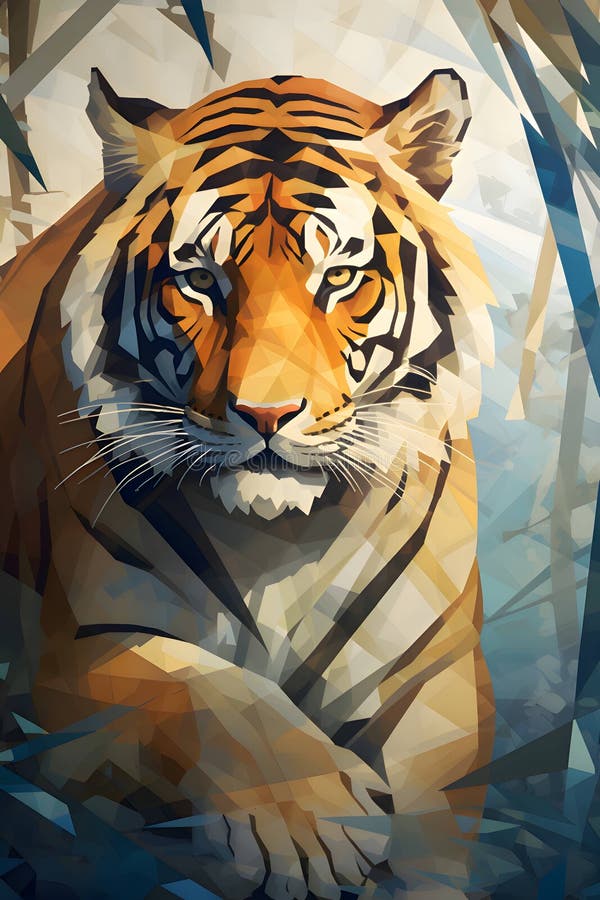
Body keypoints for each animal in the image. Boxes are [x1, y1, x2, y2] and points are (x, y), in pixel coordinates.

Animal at [0, 68, 496, 899]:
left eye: (339, 277)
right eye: (202, 280)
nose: (265, 413)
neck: (279, 538)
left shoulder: (436, 678)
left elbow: (437, 836)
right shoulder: (79, 648)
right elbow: (208, 691)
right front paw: (316, 819)